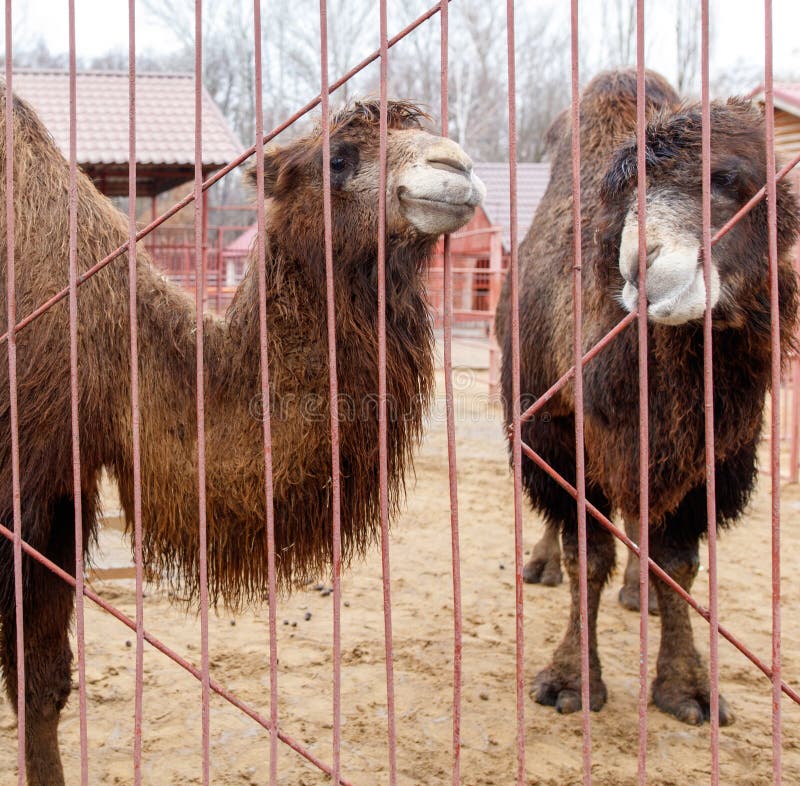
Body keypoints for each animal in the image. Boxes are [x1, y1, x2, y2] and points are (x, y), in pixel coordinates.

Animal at [495, 69, 799, 725]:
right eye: (629, 193)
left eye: (728, 179)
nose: (644, 264)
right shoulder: (557, 432)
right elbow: (587, 557)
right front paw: (571, 681)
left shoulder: (714, 455)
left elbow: (680, 562)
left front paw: (689, 688)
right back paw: (541, 565)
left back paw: (642, 593)